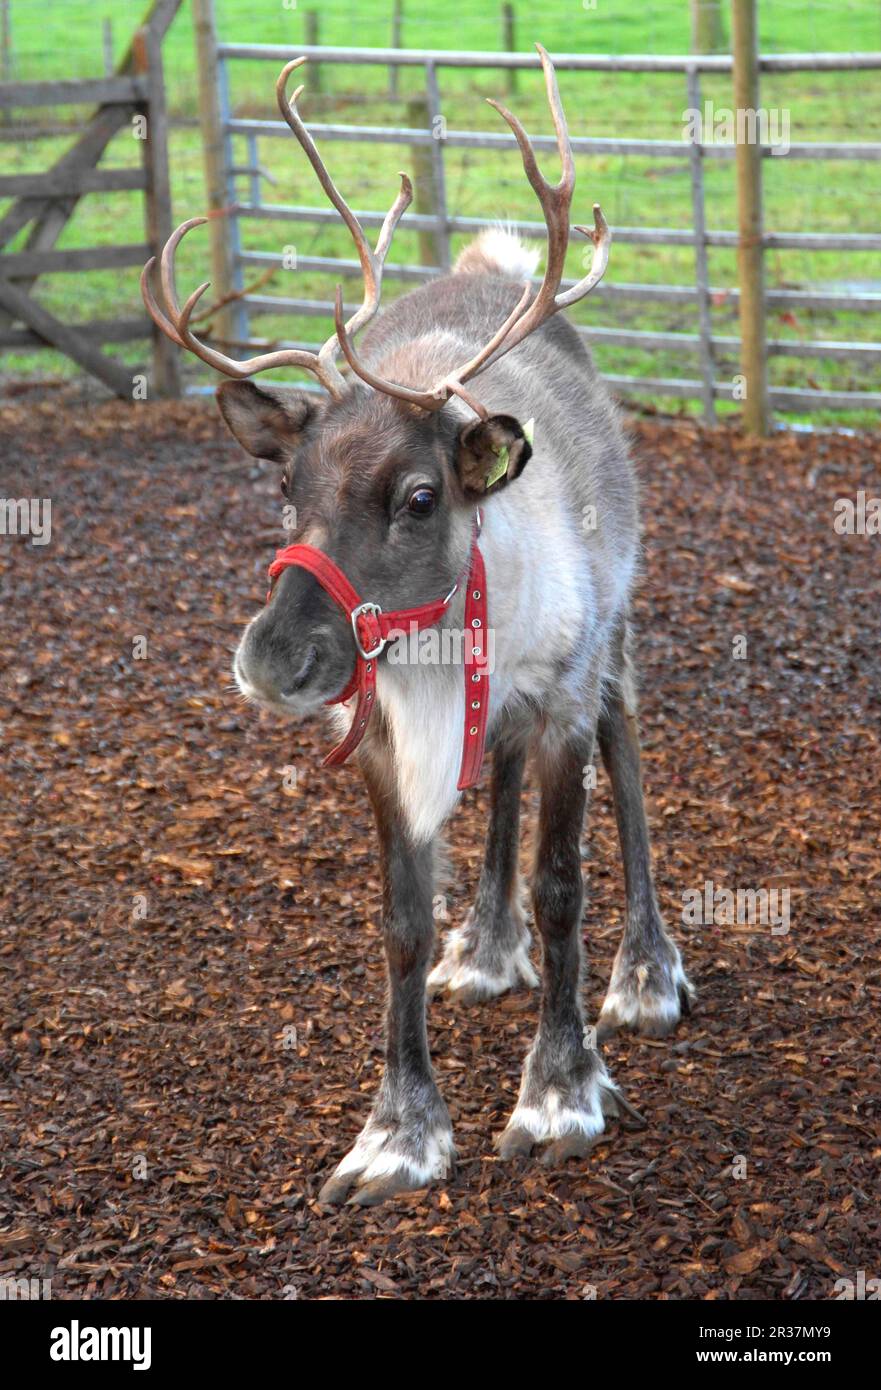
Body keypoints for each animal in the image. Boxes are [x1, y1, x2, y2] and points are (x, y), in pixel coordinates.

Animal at [142, 45, 694, 1207]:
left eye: (418, 497)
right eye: (285, 489)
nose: (272, 658)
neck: (443, 636)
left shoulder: (560, 697)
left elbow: (564, 884)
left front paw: (561, 1092)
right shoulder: (382, 737)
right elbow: (397, 920)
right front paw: (398, 1130)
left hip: (614, 636)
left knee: (627, 755)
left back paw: (645, 971)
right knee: (496, 783)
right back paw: (482, 946)